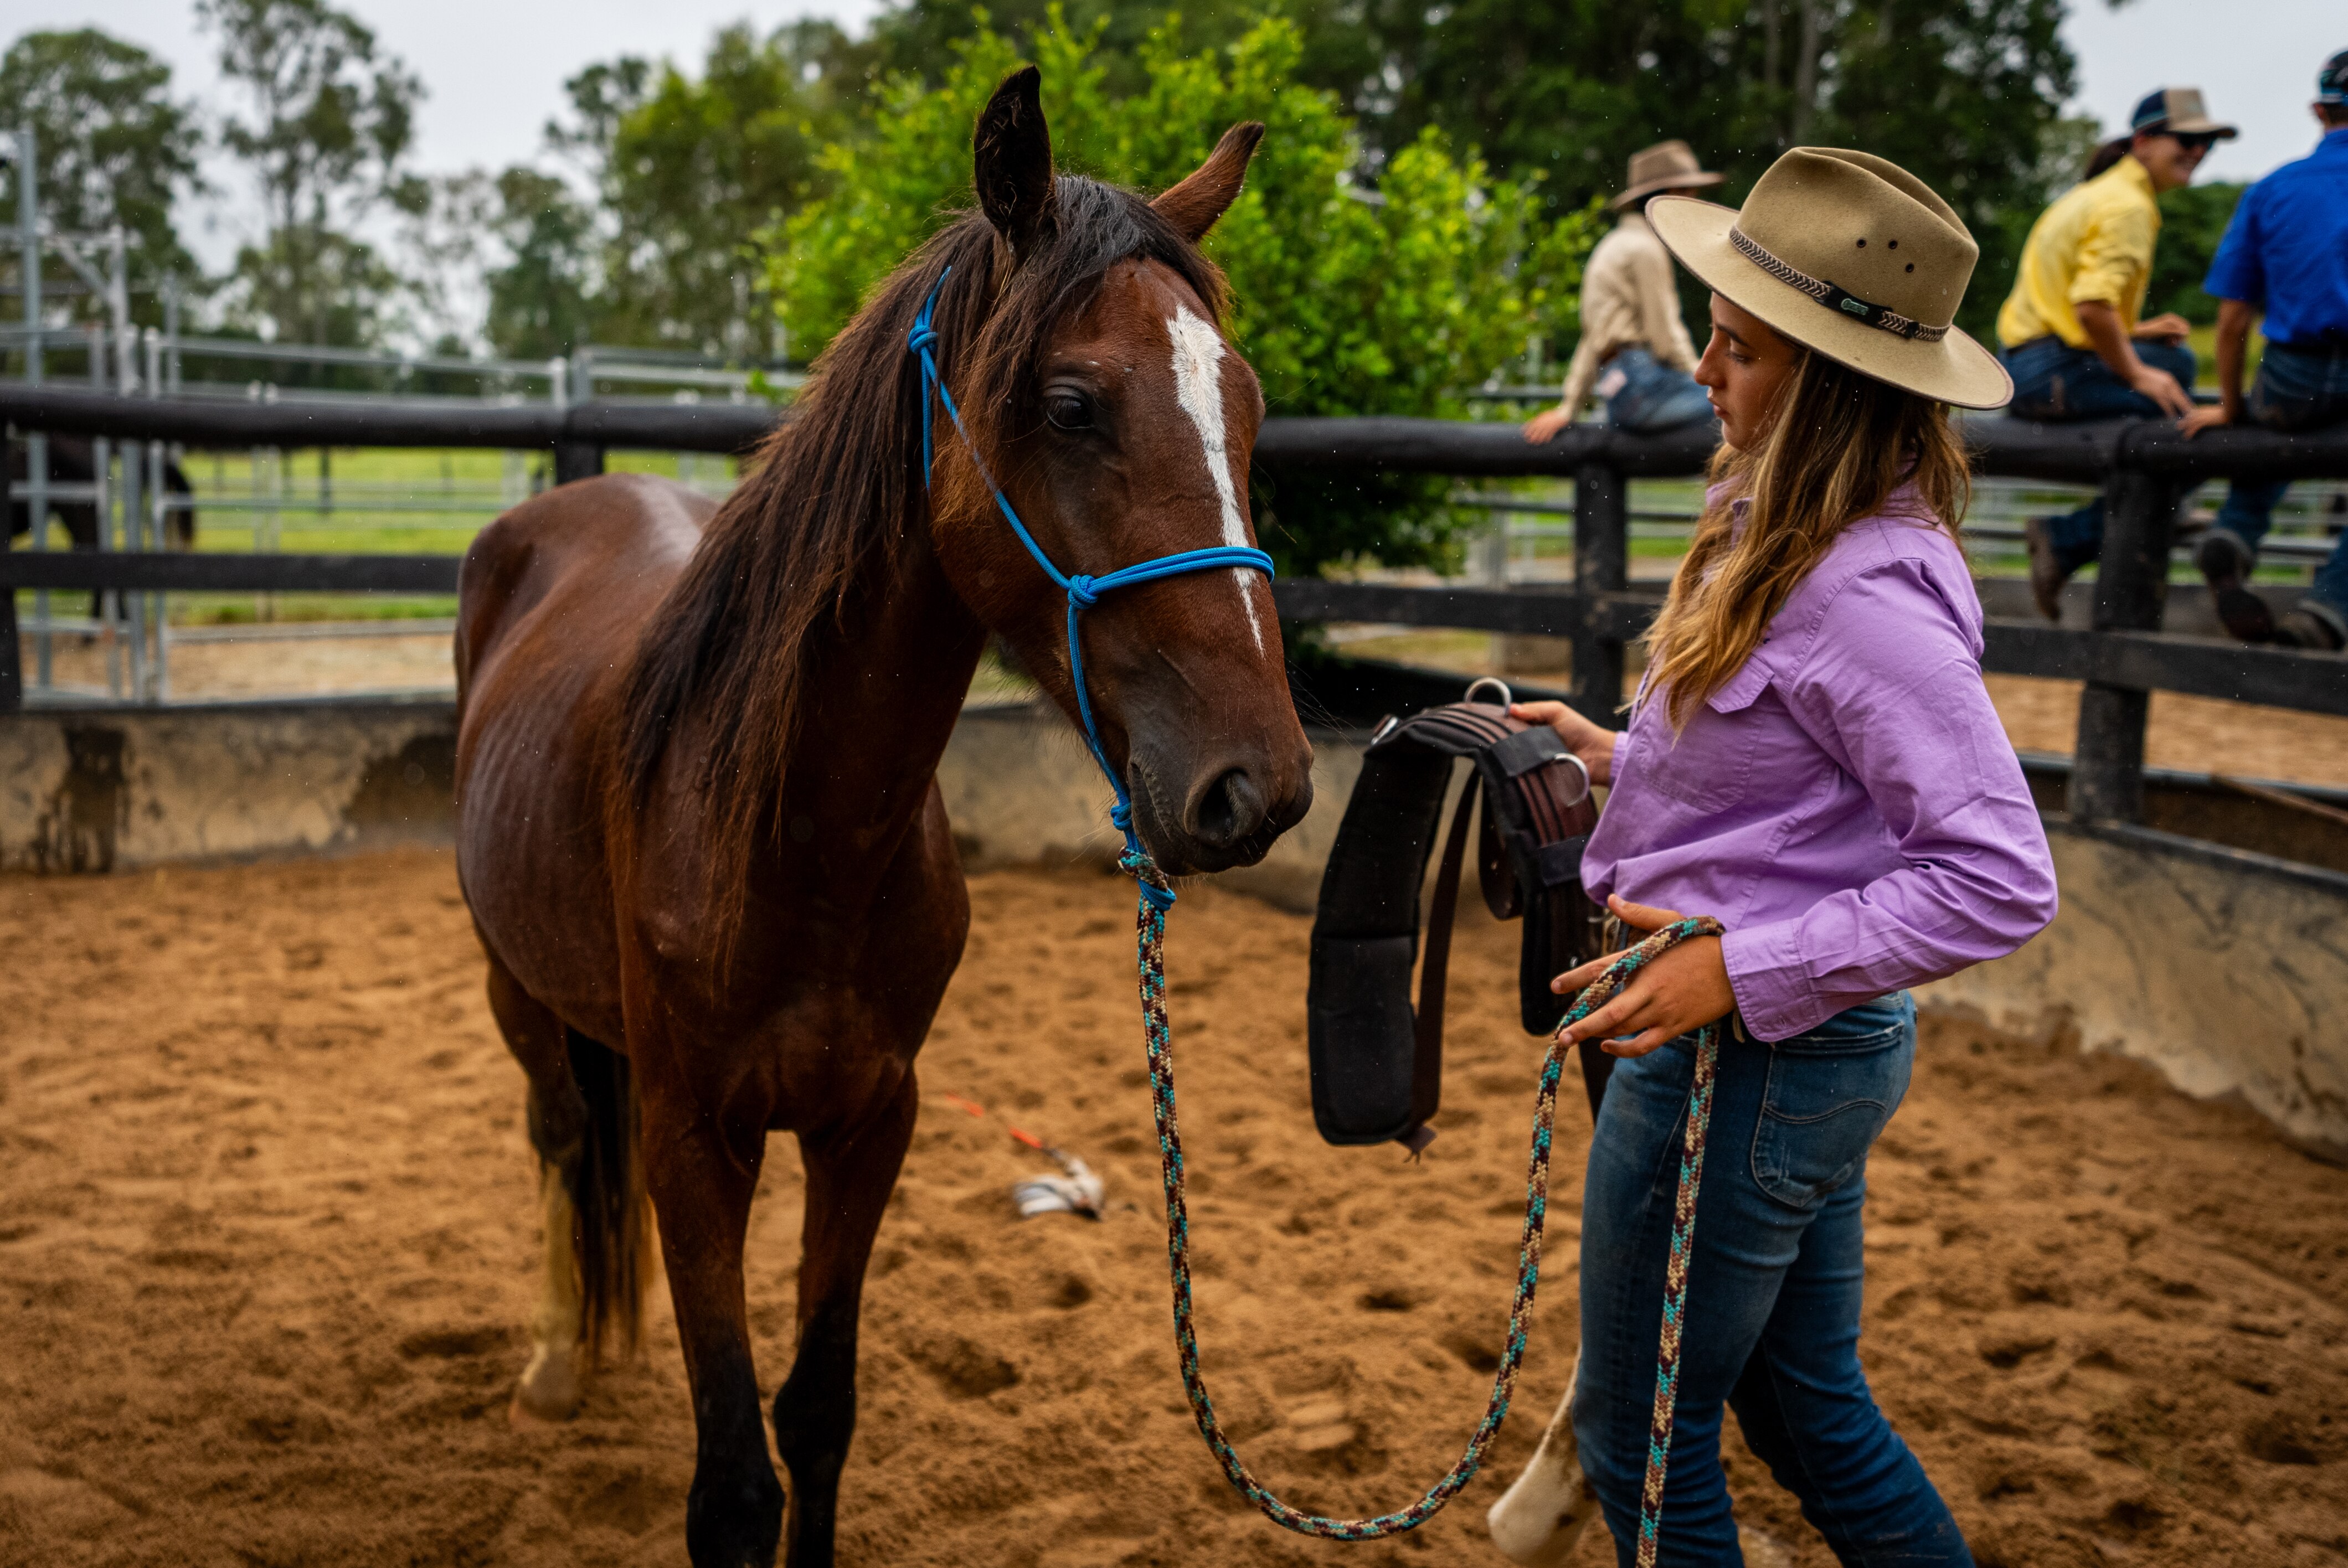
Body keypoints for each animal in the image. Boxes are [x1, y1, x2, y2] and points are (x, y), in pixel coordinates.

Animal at [452, 66, 1314, 1568]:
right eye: (1073, 403)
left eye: (1247, 407)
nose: (1254, 784)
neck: (794, 838)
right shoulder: (694, 1140)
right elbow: (733, 1480)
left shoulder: (870, 1123)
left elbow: (815, 1416)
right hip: (520, 989)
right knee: (558, 1135)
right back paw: (558, 1364)